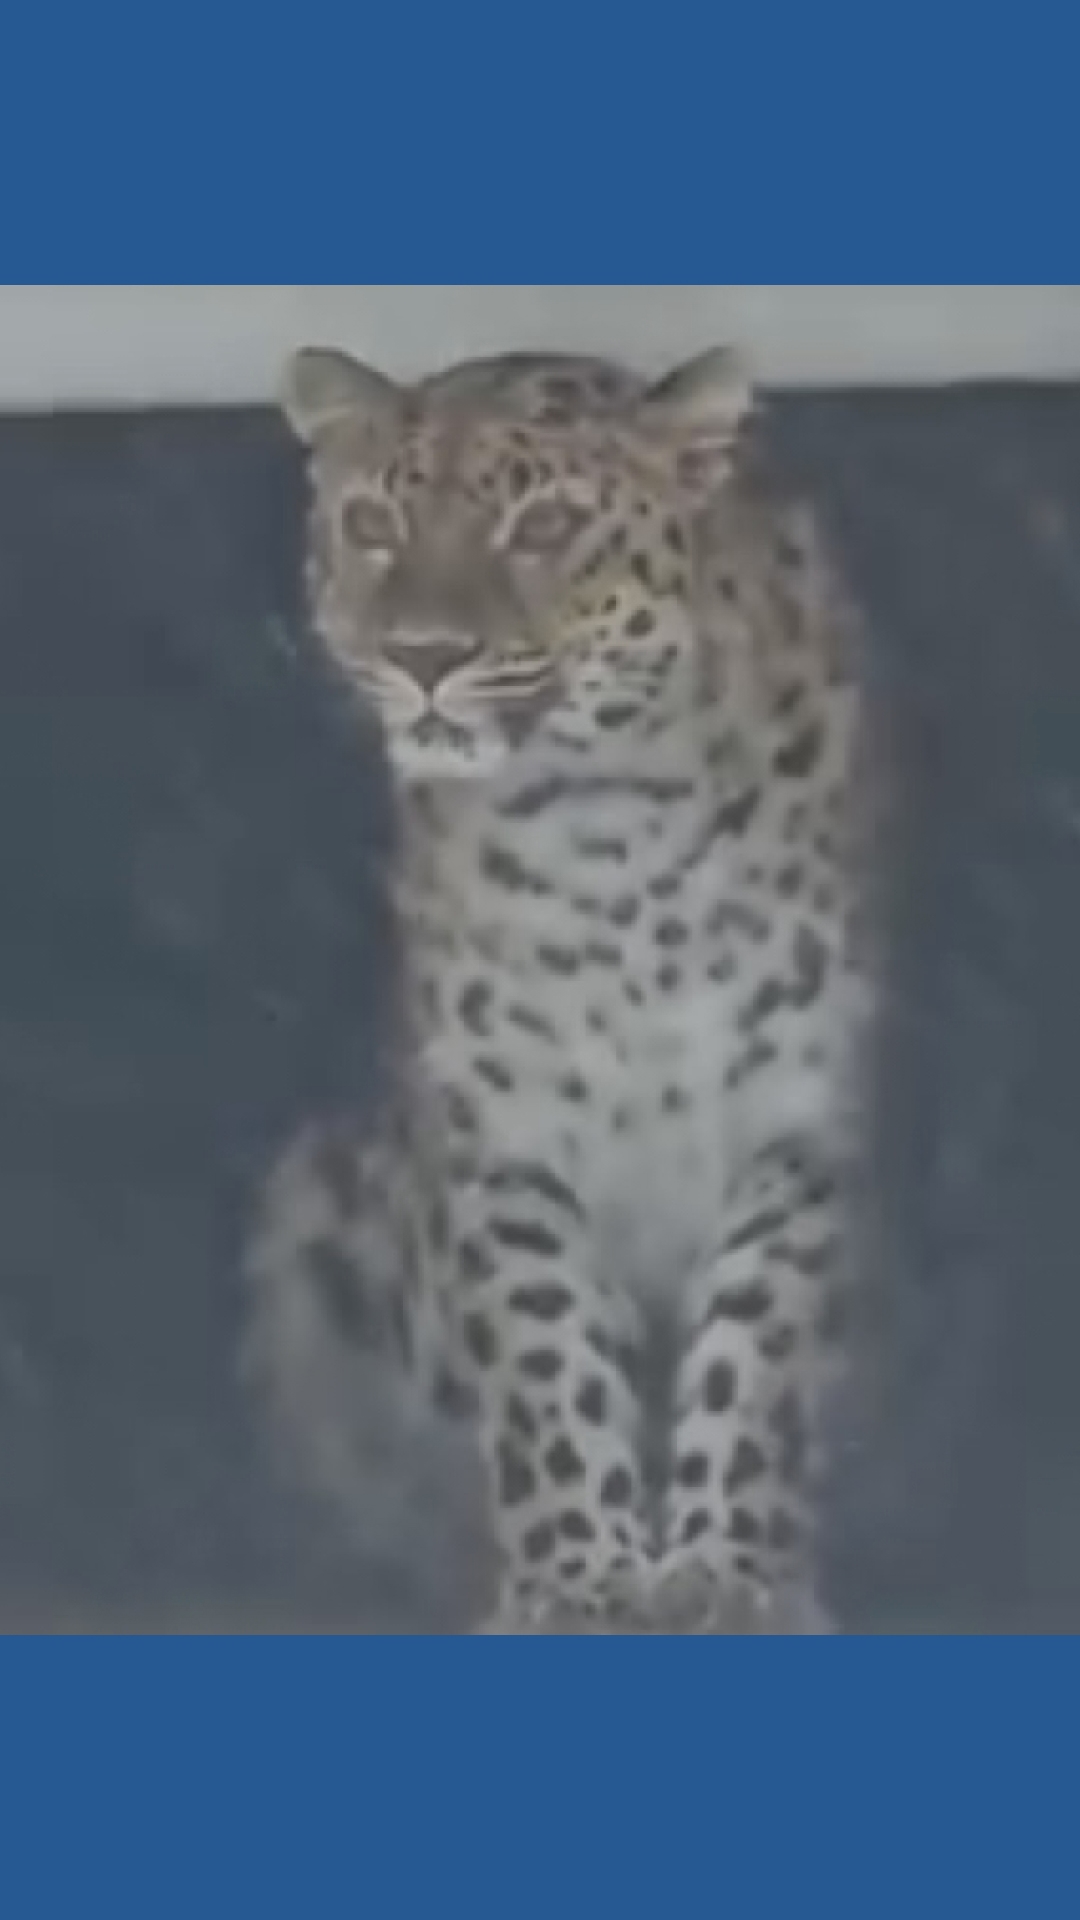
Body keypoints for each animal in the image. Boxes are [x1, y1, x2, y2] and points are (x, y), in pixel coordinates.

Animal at [243, 341, 872, 1635]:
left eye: (544, 524)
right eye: (375, 522)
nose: (424, 656)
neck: (607, 815)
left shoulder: (792, 1119)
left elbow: (754, 1353)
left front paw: (735, 1575)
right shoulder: (501, 1133)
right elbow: (547, 1357)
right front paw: (577, 1580)